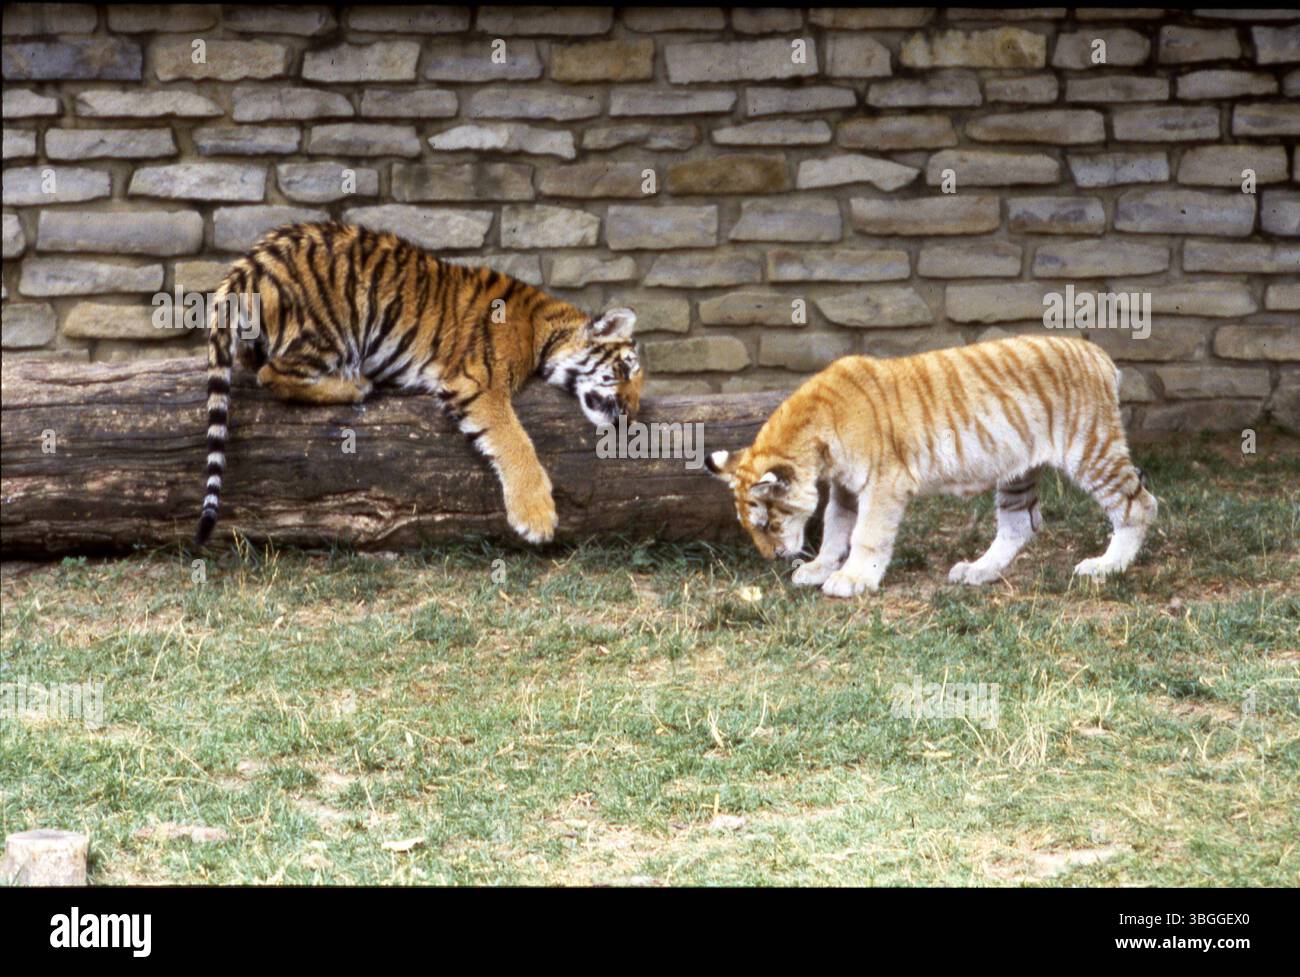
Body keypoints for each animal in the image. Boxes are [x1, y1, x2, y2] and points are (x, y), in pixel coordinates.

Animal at [194, 220, 643, 547]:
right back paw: (356, 384)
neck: (544, 328)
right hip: (326, 329)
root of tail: (248, 265)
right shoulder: (479, 383)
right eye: (625, 370)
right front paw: (537, 518)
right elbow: (515, 441)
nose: (633, 415)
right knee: (270, 374)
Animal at [706, 335, 1157, 598]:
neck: (815, 442)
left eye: (768, 523)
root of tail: (1099, 354)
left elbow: (867, 535)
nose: (773, 558)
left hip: (1091, 450)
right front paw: (818, 568)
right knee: (1020, 525)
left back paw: (1106, 567)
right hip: (1017, 471)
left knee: (1139, 504)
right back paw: (976, 571)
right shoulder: (846, 488)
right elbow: (835, 528)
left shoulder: (884, 483)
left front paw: (852, 580)